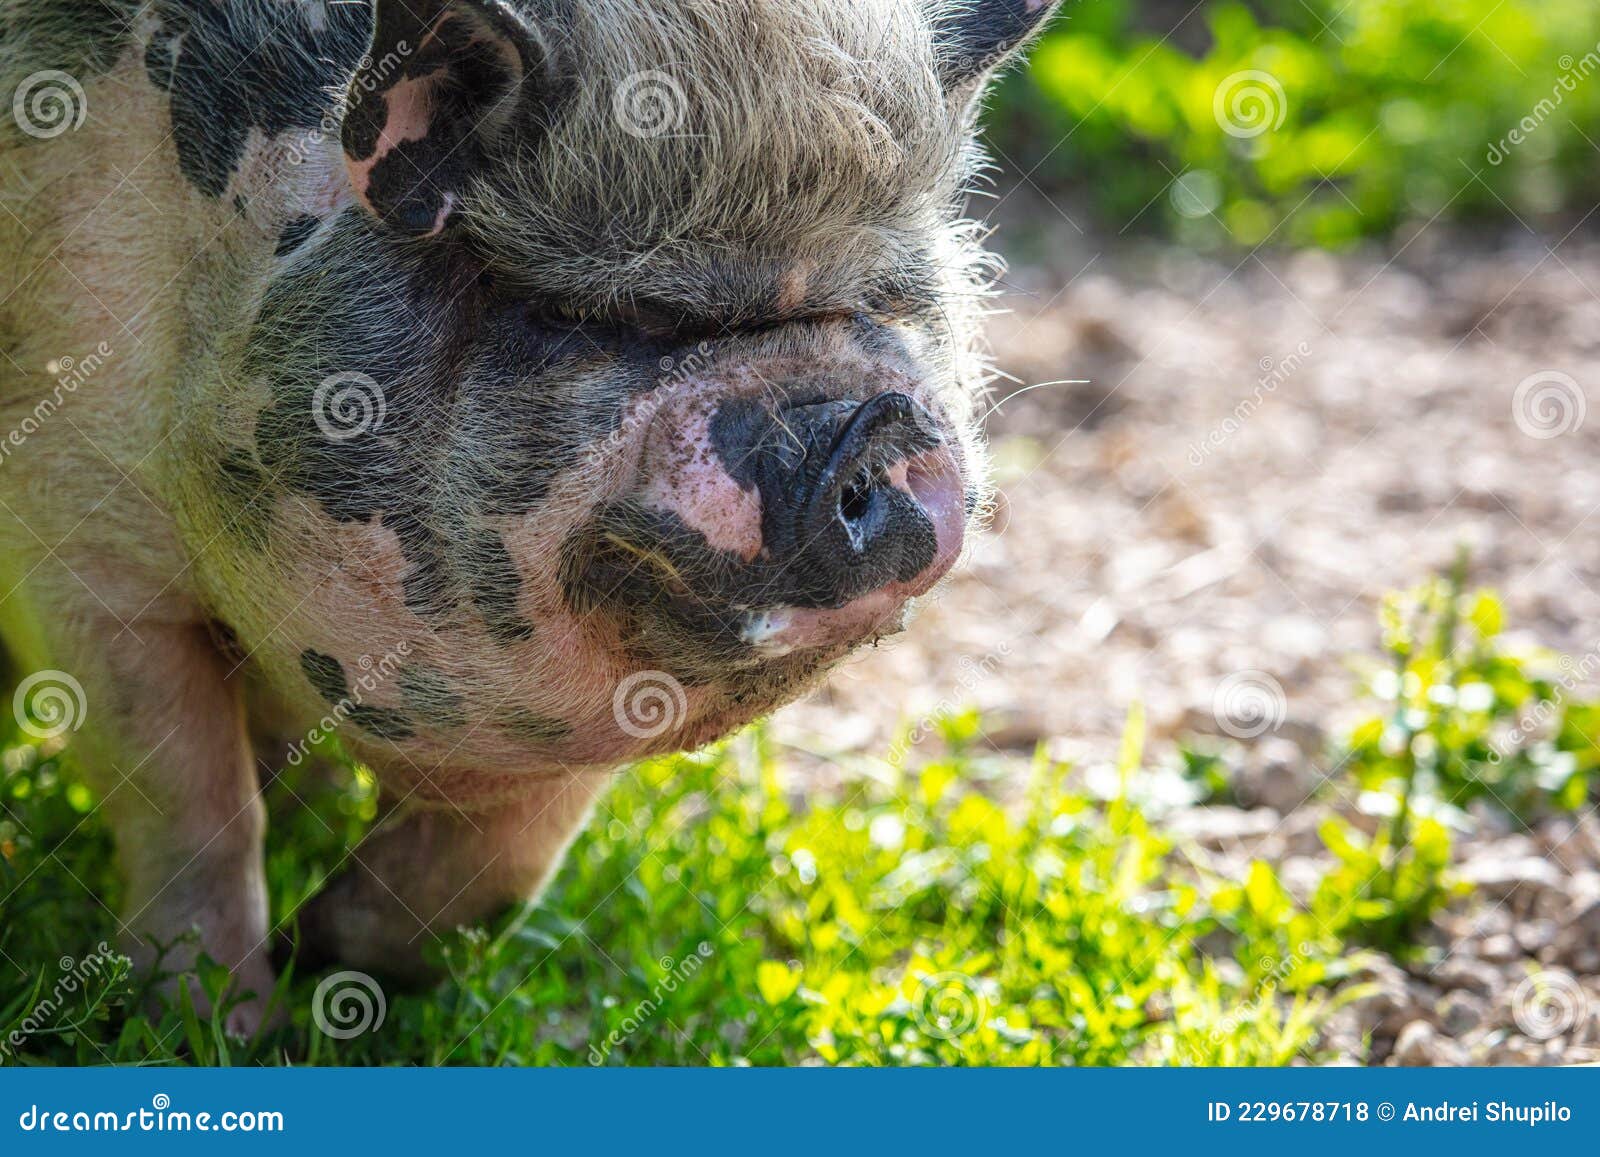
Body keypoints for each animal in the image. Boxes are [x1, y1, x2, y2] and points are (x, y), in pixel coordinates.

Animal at [0, 0, 1059, 1033]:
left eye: (882, 301)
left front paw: (328, 955)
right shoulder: (77, 554)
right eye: (620, 316)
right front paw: (218, 1026)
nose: (871, 426)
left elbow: (500, 867)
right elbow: (188, 804)